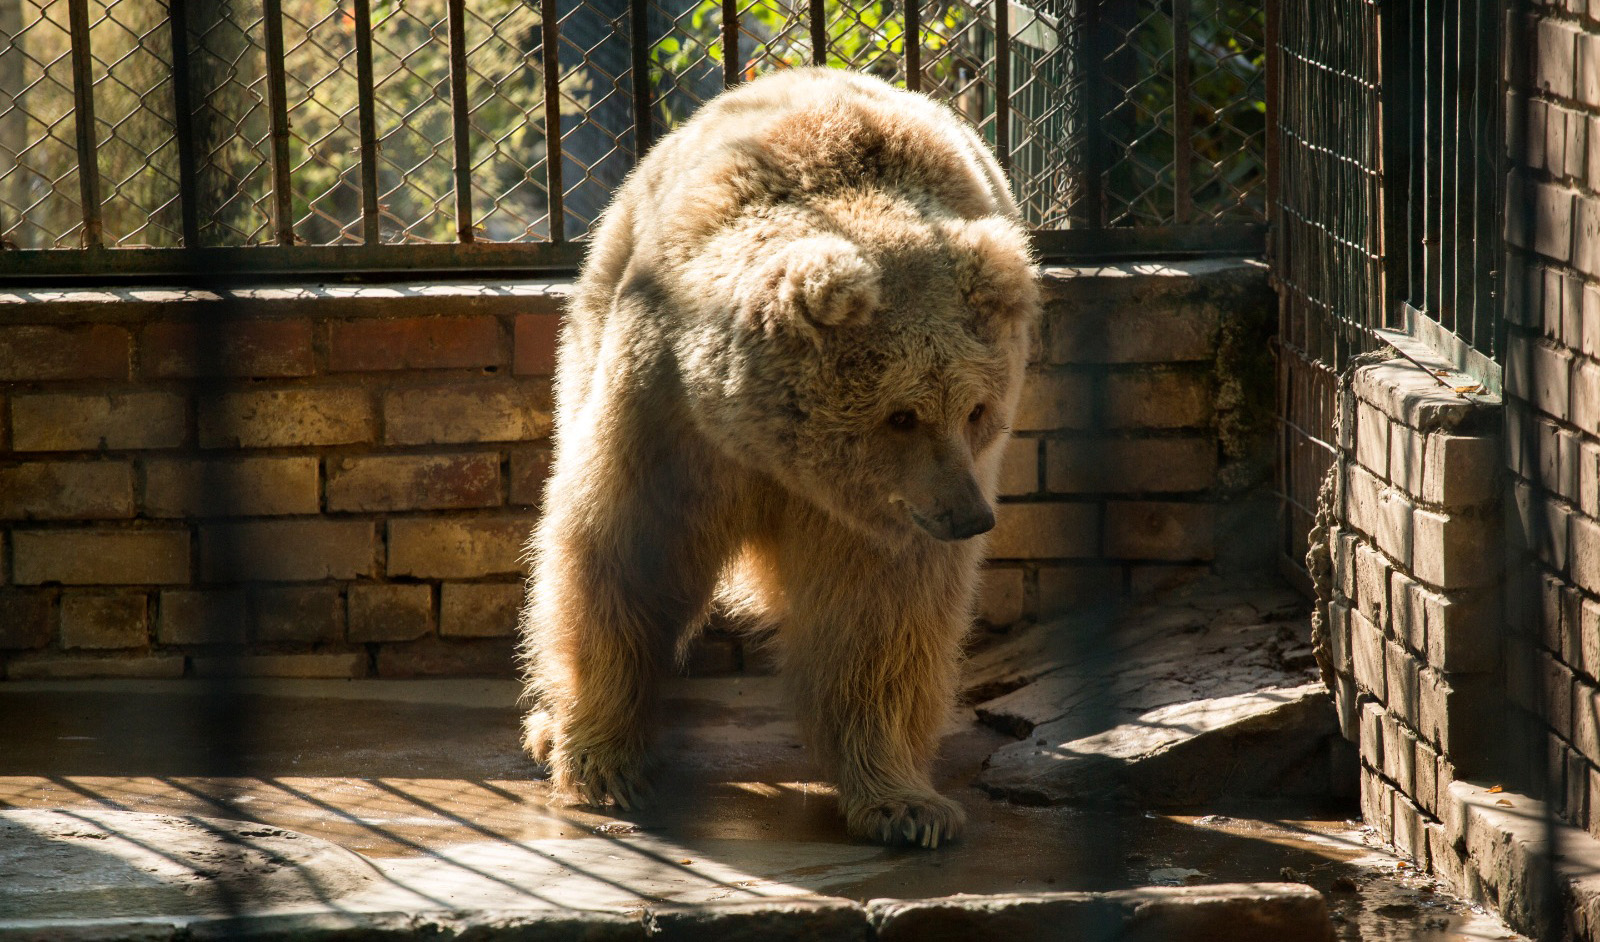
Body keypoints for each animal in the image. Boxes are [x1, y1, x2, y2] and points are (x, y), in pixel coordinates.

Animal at [517, 67, 1040, 847]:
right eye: (902, 414)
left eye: (976, 409)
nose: (970, 517)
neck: (768, 449)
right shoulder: (670, 416)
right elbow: (624, 556)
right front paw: (603, 762)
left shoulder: (880, 515)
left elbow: (877, 616)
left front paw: (907, 805)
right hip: (594, 318)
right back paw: (547, 729)